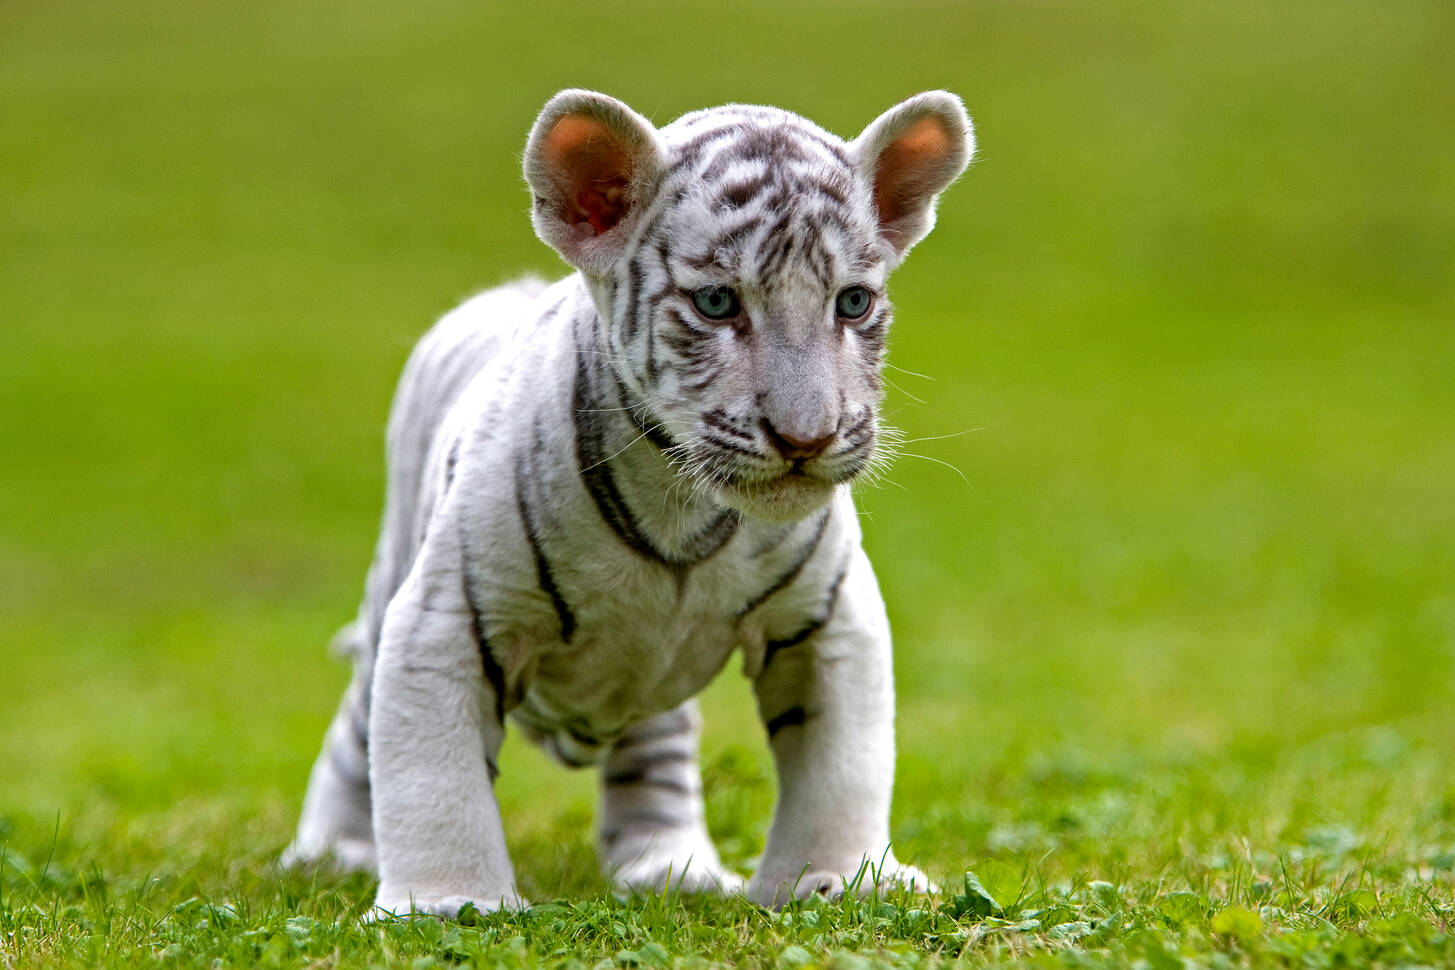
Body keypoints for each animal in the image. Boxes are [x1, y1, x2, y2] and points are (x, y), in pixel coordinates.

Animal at [282, 89, 975, 918]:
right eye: (716, 303)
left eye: (852, 303)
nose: (806, 437)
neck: (680, 507)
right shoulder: (446, 616)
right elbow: (432, 779)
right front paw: (449, 903)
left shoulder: (829, 617)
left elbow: (842, 765)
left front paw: (838, 879)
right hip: (389, 591)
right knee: (353, 737)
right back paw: (331, 853)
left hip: (645, 686)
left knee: (654, 761)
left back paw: (671, 867)